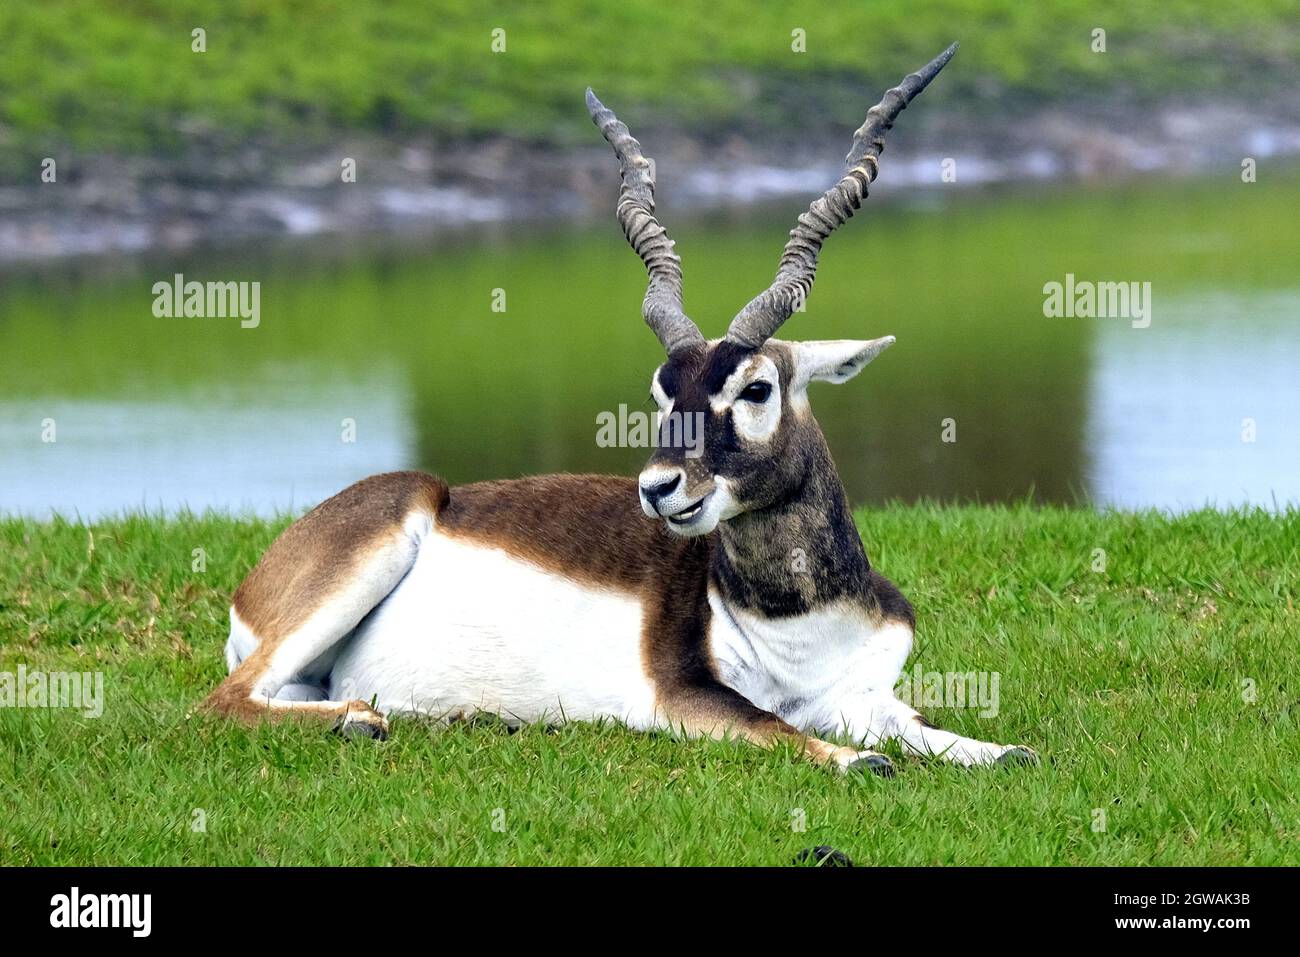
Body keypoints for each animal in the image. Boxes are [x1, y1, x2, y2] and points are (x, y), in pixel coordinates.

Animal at [202, 42, 1038, 776]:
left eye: (756, 388)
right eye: (663, 392)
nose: (660, 488)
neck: (799, 619)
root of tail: (253, 585)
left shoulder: (861, 693)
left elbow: (943, 733)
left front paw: (1002, 750)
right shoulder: (687, 696)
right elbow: (781, 727)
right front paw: (857, 760)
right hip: (369, 550)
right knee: (220, 703)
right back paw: (362, 720)